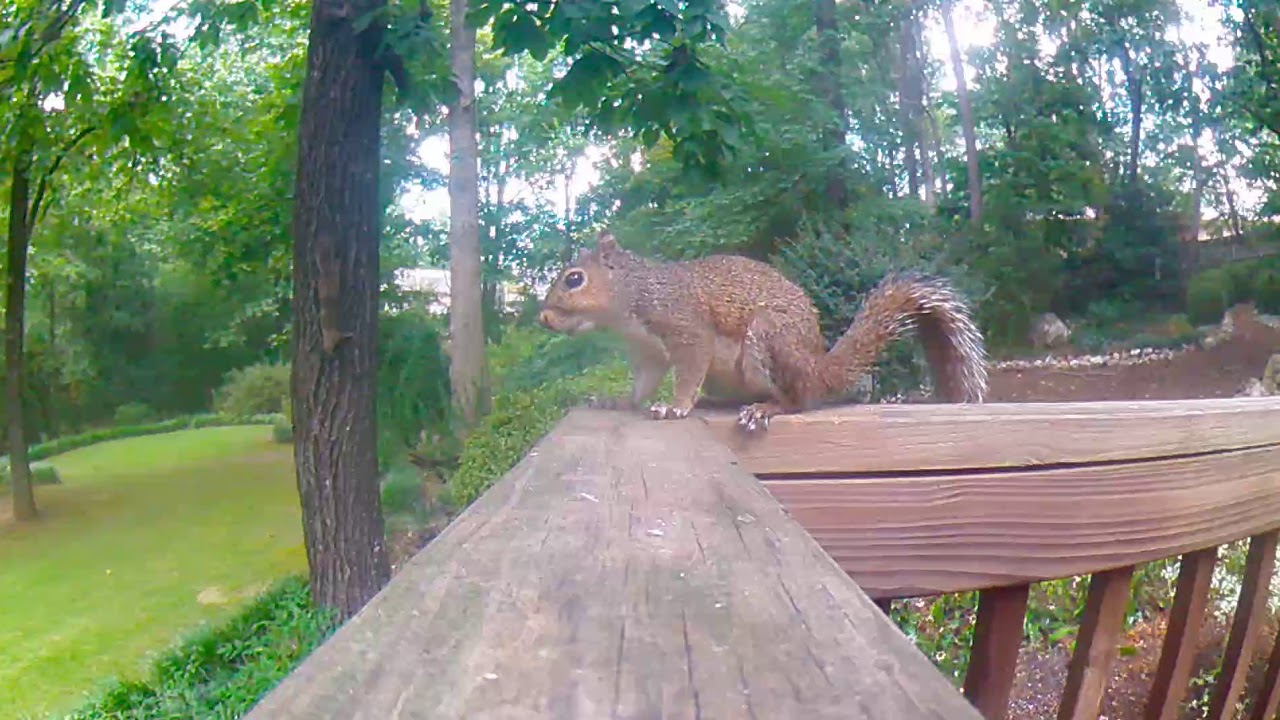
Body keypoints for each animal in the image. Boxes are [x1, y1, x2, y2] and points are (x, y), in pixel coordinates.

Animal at [537, 230, 988, 431]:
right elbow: (642, 385)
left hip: (768, 340)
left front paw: (676, 406)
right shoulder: (647, 353)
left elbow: (688, 368)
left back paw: (765, 408)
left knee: (796, 401)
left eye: (574, 279)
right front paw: (616, 401)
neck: (632, 300)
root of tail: (819, 371)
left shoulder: (686, 328)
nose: (543, 318)